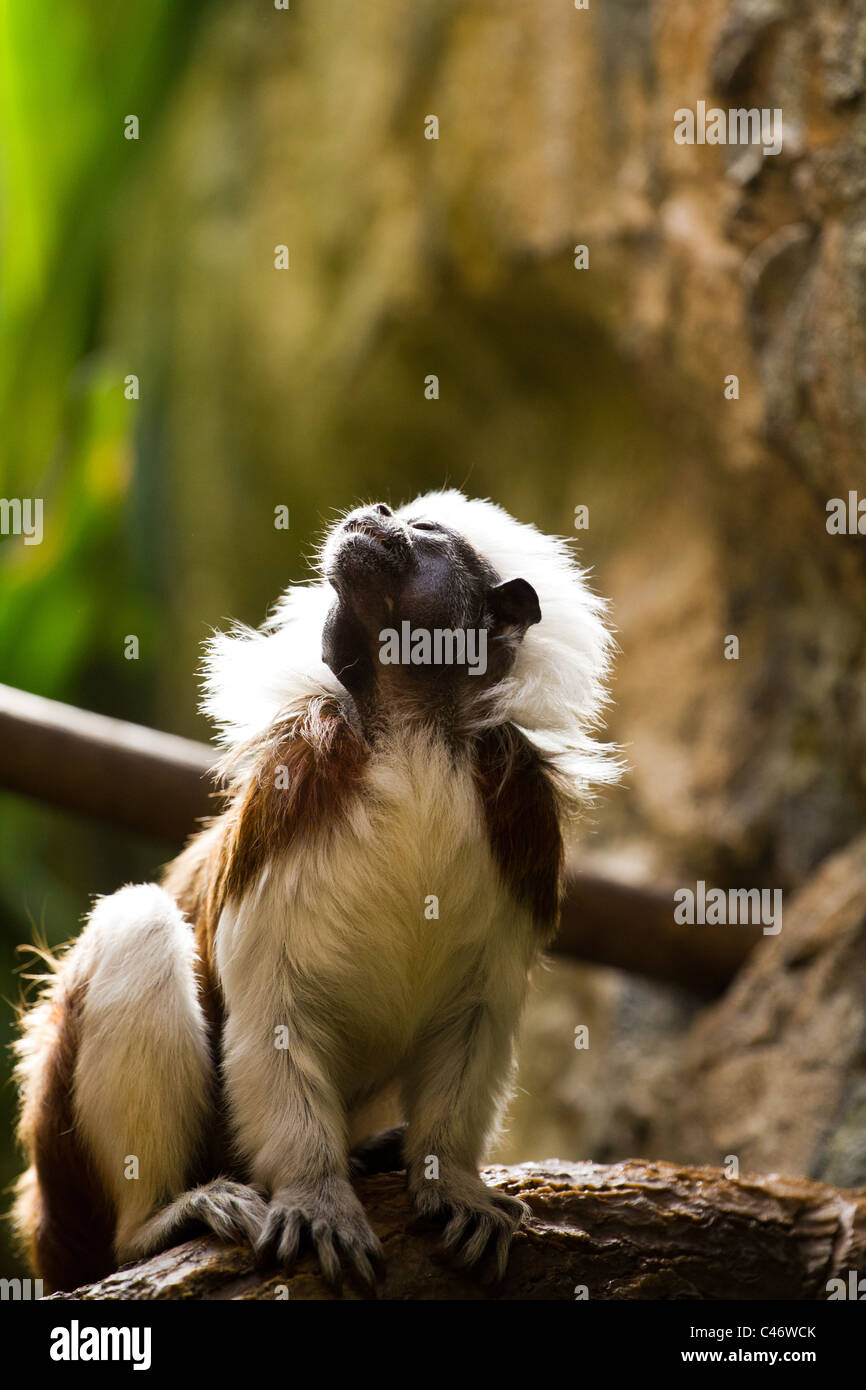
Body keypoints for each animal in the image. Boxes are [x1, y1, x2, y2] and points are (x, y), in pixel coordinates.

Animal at [13, 489, 619, 1294]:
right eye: (394, 512)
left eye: (423, 531)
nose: (374, 512)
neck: (414, 736)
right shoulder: (292, 792)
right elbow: (274, 1015)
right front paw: (316, 1192)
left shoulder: (519, 821)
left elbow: (475, 1019)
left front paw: (452, 1181)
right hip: (66, 1175)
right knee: (139, 921)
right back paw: (160, 1218)